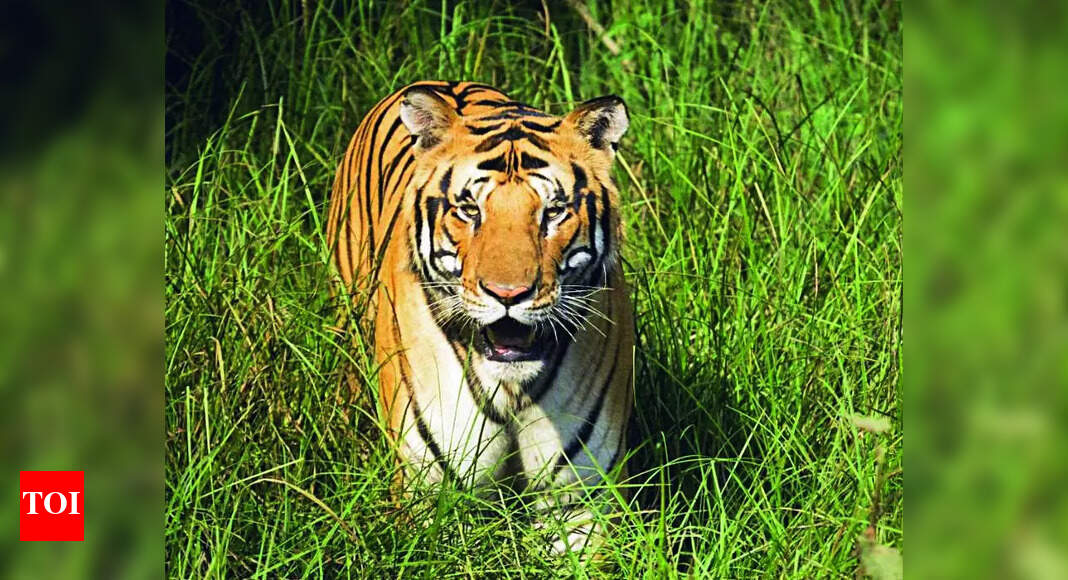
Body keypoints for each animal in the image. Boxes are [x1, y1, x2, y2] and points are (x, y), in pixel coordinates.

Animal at [326, 81, 633, 554]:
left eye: (553, 211)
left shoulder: (577, 500)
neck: (512, 389)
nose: (508, 294)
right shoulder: (435, 491)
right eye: (470, 209)